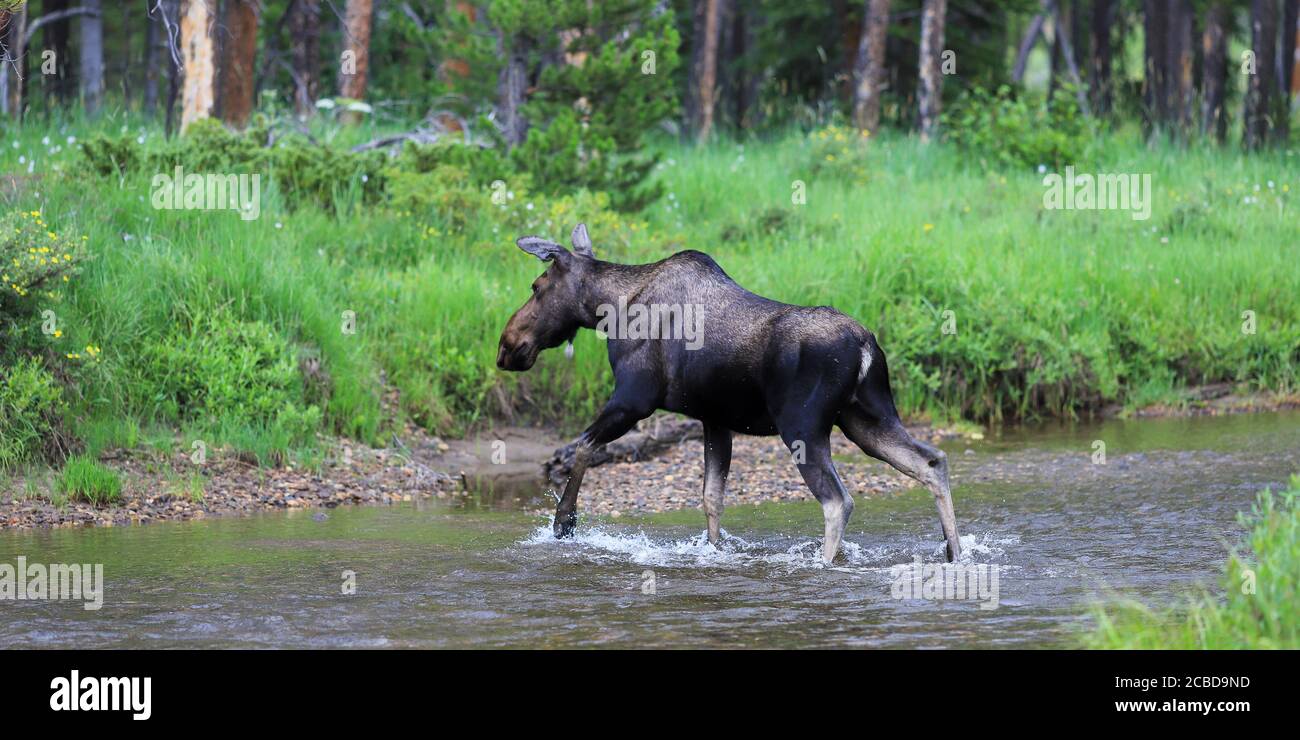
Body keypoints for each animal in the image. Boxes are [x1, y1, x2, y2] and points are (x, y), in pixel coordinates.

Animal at [496, 224, 962, 564]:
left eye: (536, 286)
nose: (507, 345)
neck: (608, 310)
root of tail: (867, 345)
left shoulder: (633, 399)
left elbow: (581, 448)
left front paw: (564, 522)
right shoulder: (714, 419)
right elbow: (711, 499)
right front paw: (716, 552)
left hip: (804, 427)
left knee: (838, 501)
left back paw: (824, 563)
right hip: (867, 419)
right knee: (931, 461)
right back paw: (954, 551)